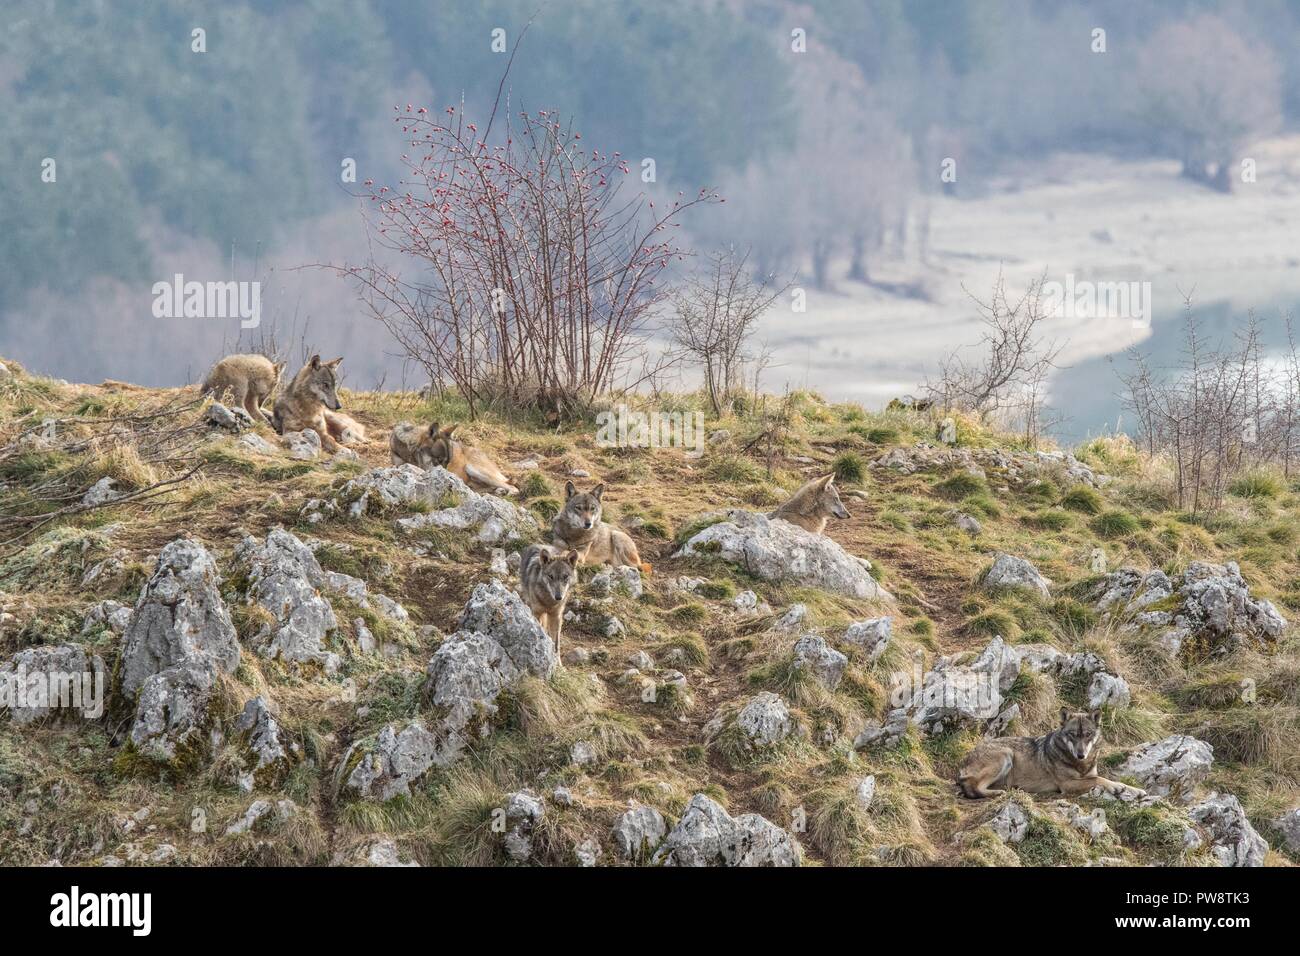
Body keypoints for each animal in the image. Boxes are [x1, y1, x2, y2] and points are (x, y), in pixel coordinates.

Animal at [956, 708, 1145, 799]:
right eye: (1073, 734)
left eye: (1087, 734)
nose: (1081, 755)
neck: (1080, 765)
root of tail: (965, 758)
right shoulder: (1067, 785)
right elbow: (1098, 779)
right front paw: (1116, 787)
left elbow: (1106, 778)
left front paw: (1136, 790)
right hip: (1006, 755)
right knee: (973, 788)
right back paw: (997, 793)